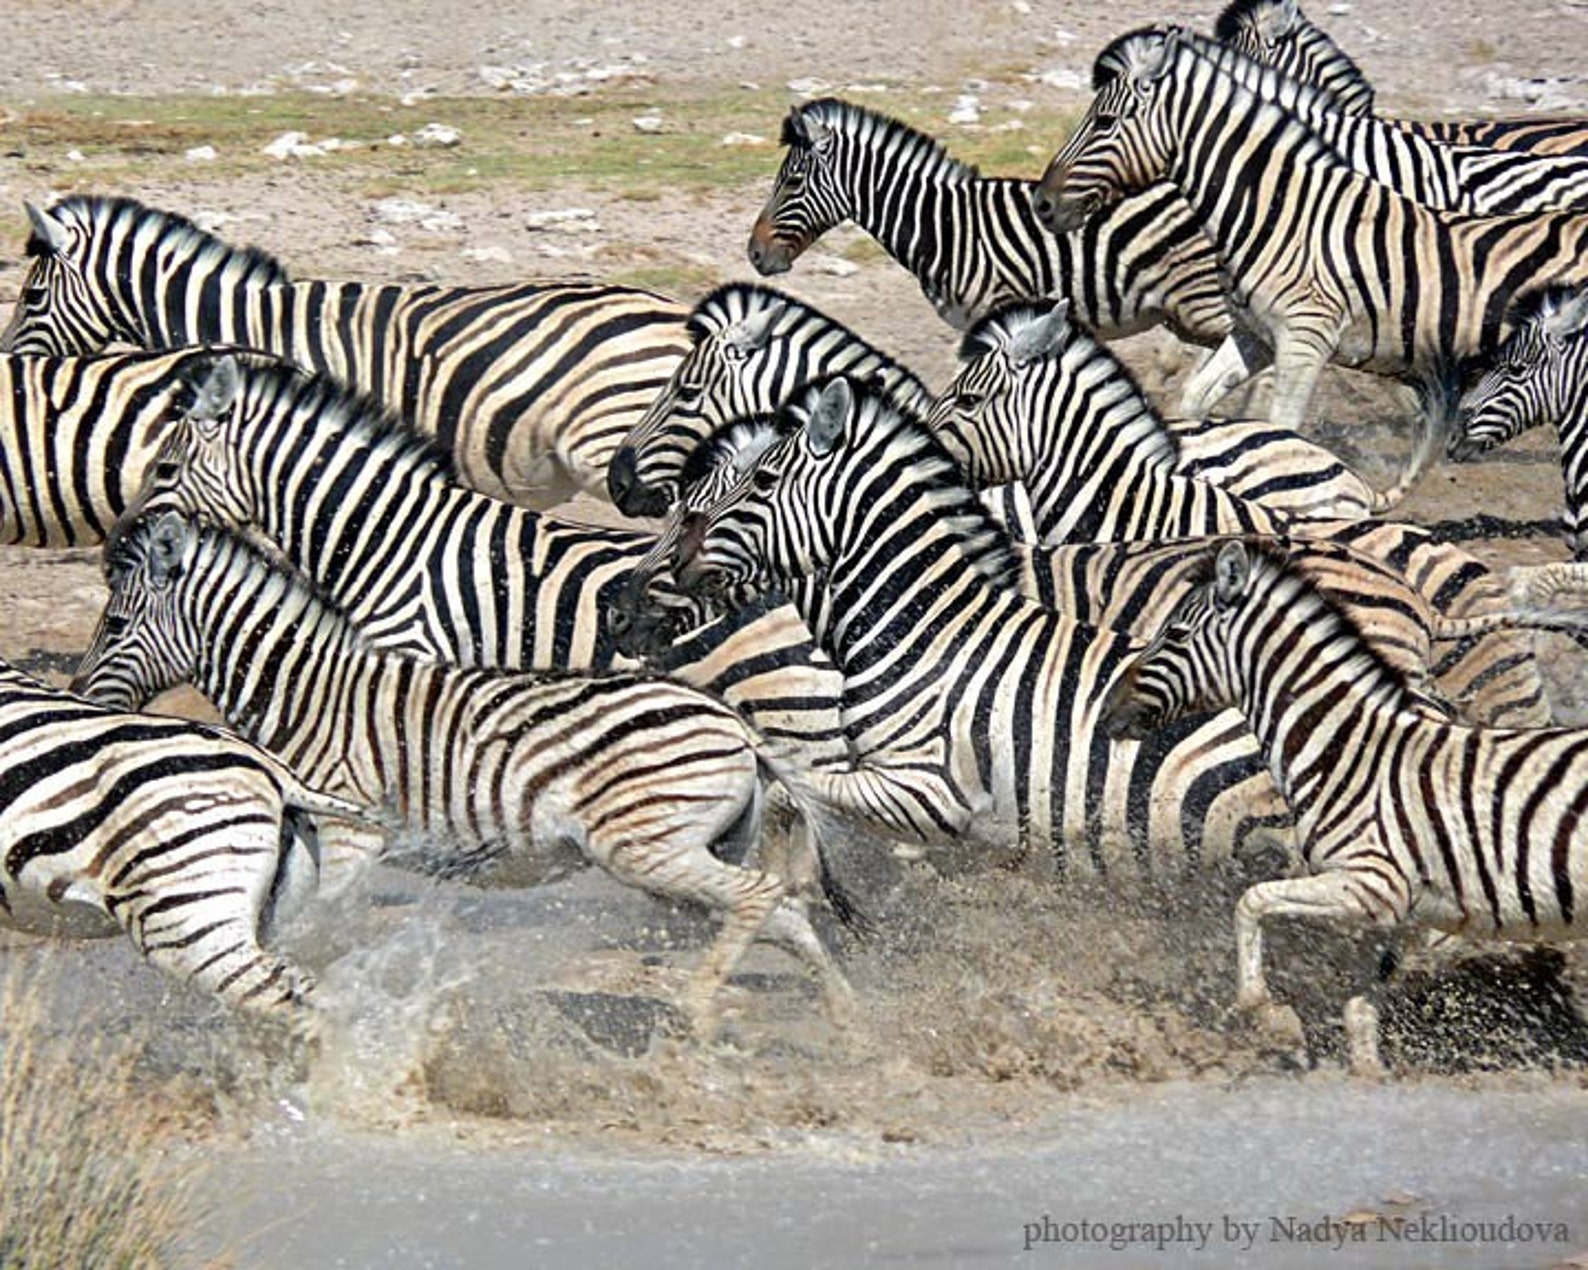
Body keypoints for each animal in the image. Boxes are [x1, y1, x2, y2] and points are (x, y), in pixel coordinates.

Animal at [72, 512, 859, 1038]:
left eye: (113, 626)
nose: (83, 700)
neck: (310, 692)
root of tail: (739, 727)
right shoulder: (314, 835)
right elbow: (288, 924)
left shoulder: (350, 829)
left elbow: (315, 925)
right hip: (689, 855)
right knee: (780, 909)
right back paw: (846, 1023)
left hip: (647, 851)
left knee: (759, 897)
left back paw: (699, 1008)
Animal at [1034, 27, 1588, 435]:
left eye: (1105, 121)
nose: (1043, 204)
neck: (1283, 208)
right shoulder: (1254, 333)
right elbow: (1194, 398)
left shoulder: (1306, 339)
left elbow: (1282, 425)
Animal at [1101, 536, 1588, 1073]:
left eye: (1175, 633)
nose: (1105, 713)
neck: (1348, 751)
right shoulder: (1393, 911)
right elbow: (1361, 1001)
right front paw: (1365, 1069)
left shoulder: (1370, 882)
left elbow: (1252, 900)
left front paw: (1262, 1008)